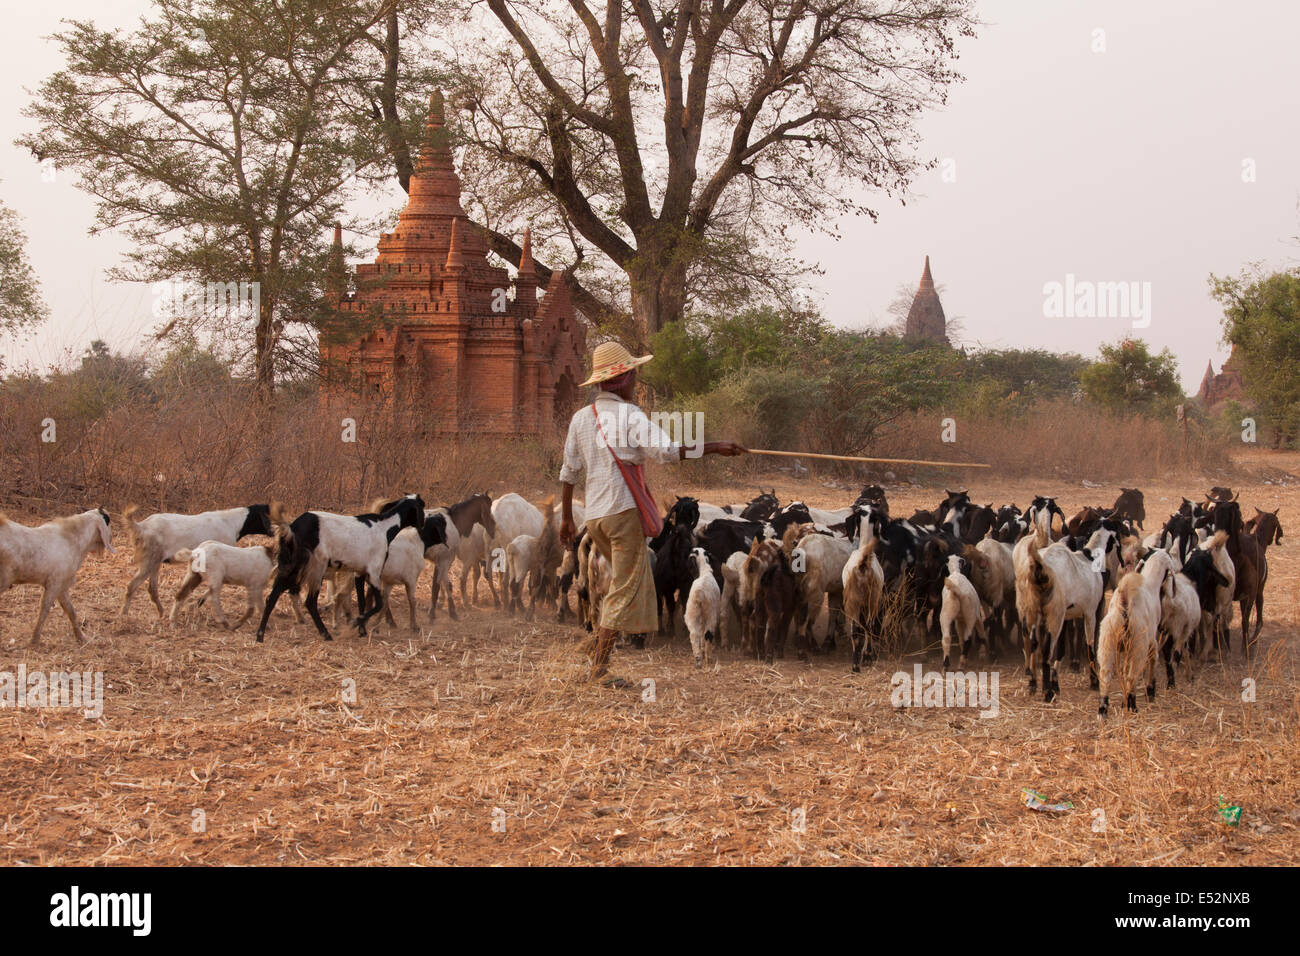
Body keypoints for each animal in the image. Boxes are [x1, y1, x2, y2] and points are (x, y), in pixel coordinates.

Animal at [0, 508, 114, 646]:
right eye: (107, 520)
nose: (112, 537)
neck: (72, 540)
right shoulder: (54, 583)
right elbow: (44, 609)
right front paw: (34, 640)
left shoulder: (62, 585)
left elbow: (70, 610)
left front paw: (81, 637)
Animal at [120, 504, 271, 617]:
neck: (232, 523)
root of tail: (141, 526)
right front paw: (192, 606)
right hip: (149, 561)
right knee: (132, 586)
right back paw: (124, 615)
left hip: (155, 562)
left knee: (152, 588)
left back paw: (161, 612)